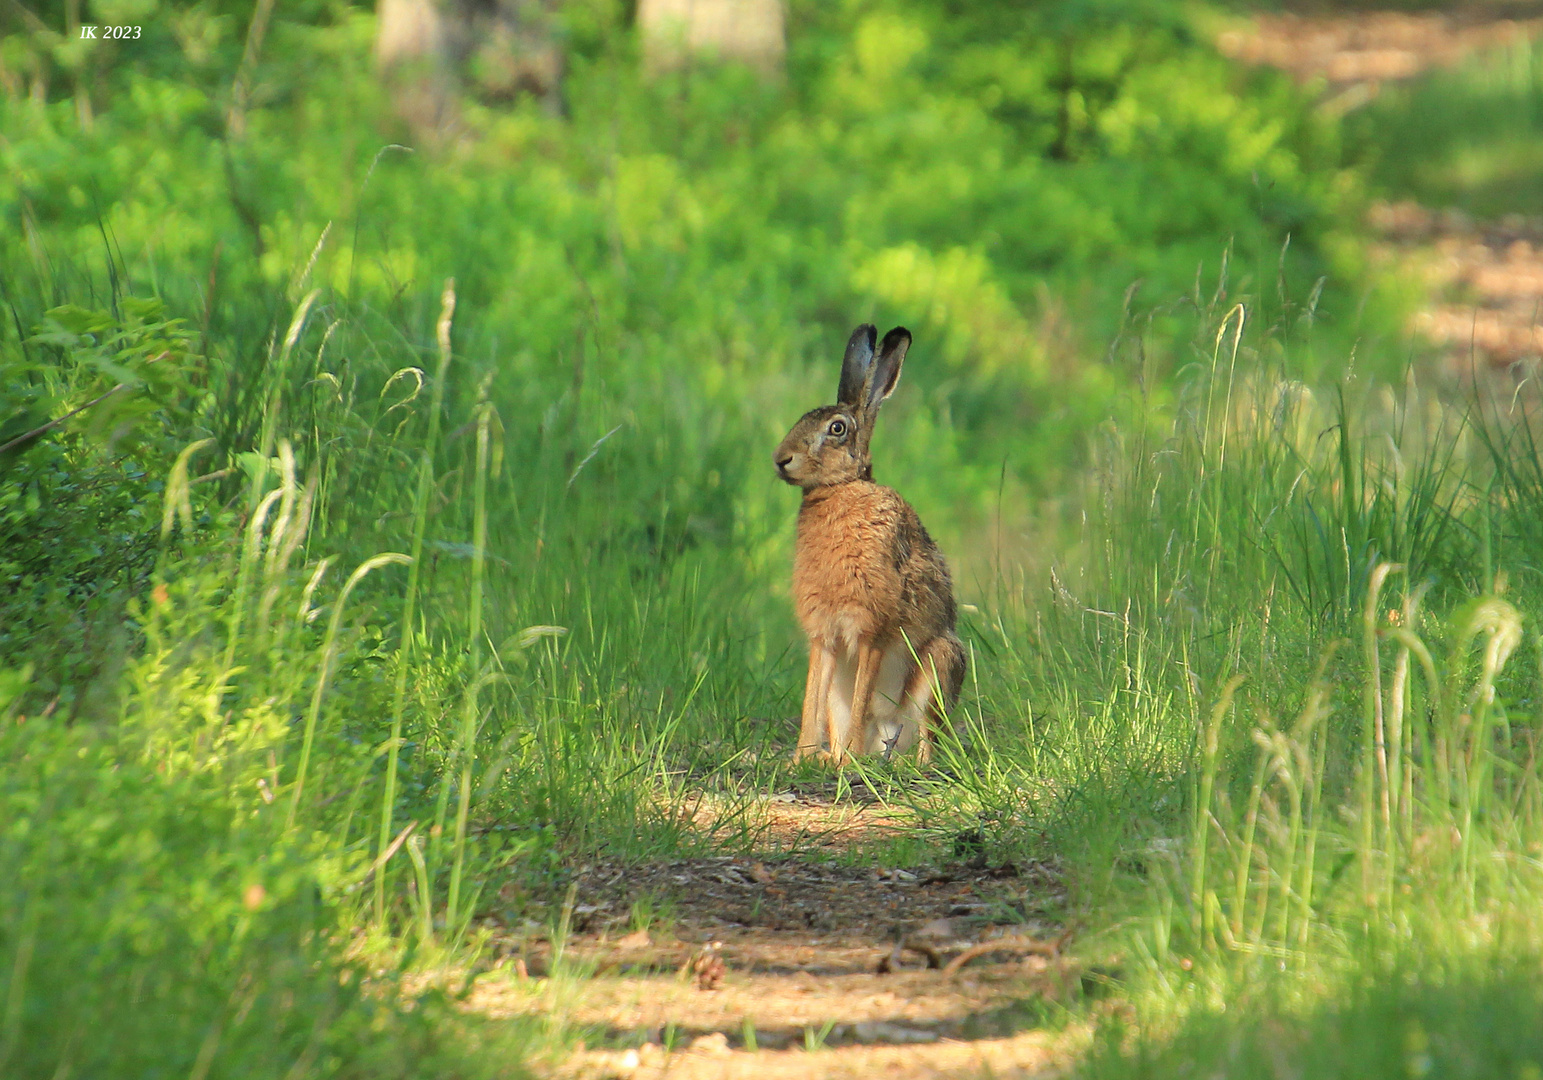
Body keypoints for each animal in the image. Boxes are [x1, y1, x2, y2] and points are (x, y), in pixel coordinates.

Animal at [774, 324, 966, 764]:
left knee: (925, 731)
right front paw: (802, 759)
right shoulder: (823, 635)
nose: (781, 459)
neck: (840, 489)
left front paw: (846, 762)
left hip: (940, 662)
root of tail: (889, 736)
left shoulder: (872, 629)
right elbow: (811, 700)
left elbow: (863, 698)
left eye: (837, 429)